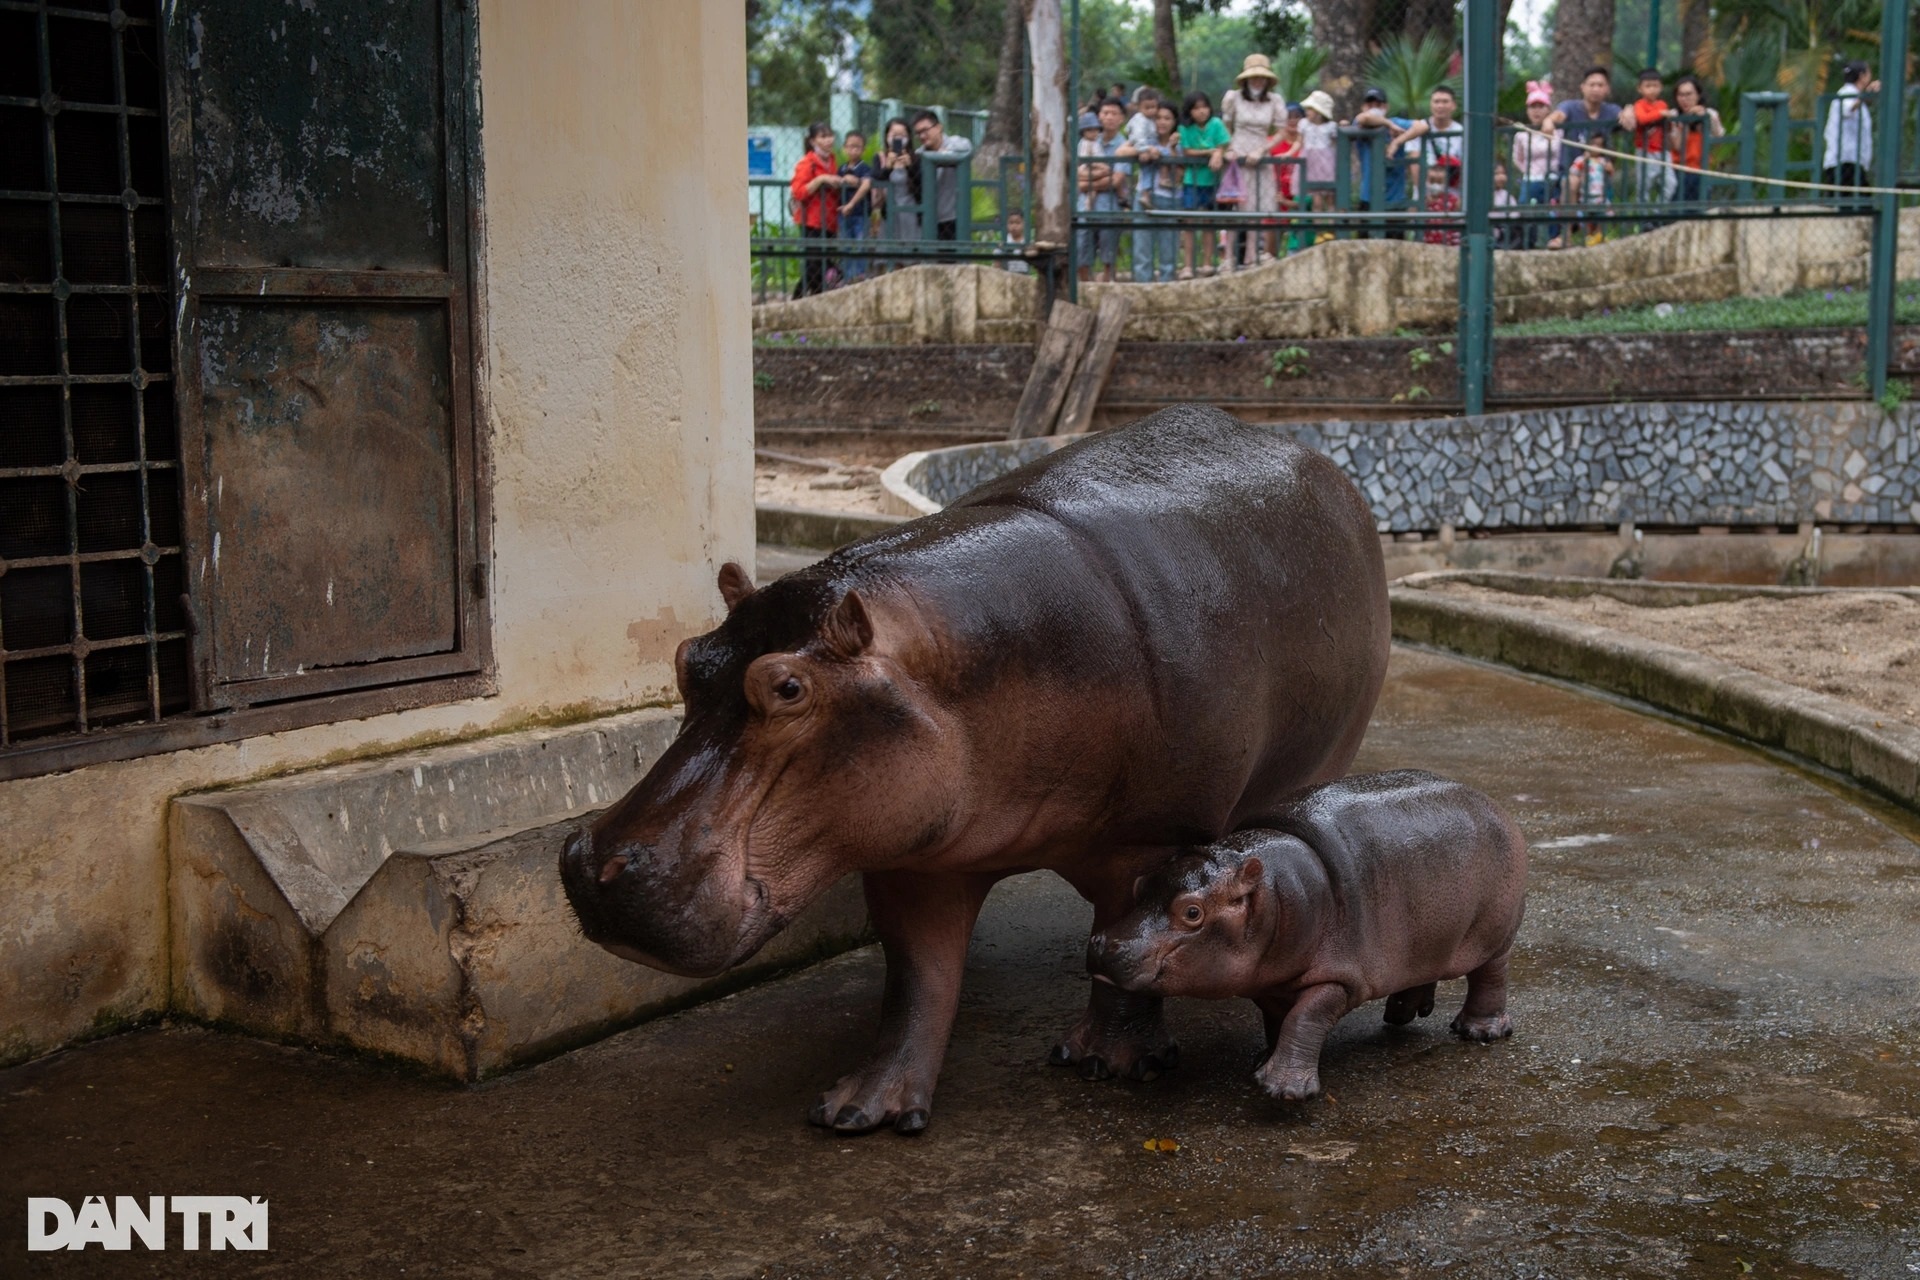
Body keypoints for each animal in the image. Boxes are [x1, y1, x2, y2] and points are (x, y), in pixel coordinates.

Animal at [559, 404, 1390, 1134]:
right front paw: (862, 1109)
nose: (596, 869)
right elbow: (918, 980)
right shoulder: (912, 856)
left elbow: (1125, 947)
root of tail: (1322, 465)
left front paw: (1110, 1064)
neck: (949, 665)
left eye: (788, 688)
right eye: (686, 657)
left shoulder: (1152, 839)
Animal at [1088, 770, 1527, 1103]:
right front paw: (1263, 1059)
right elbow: (1277, 1018)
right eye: (1140, 886)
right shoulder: (1269, 980)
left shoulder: (1341, 977)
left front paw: (1283, 1090)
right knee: (1423, 969)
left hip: (1495, 932)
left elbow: (1304, 1017)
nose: (1105, 945)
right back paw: (1402, 1014)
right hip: (1425, 935)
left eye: (1193, 912)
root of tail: (1494, 804)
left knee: (1491, 975)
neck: (1274, 891)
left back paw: (1479, 1032)